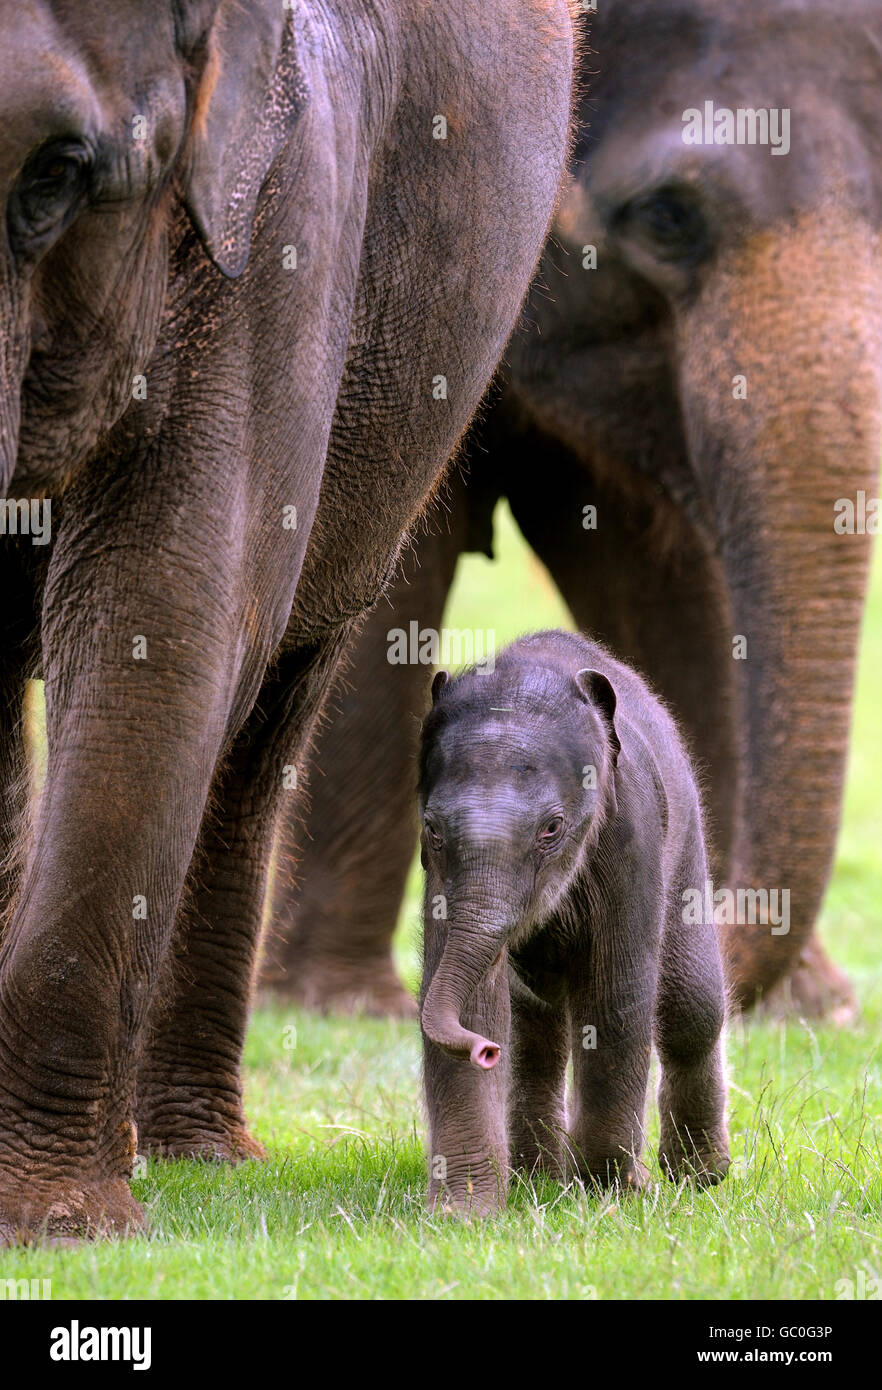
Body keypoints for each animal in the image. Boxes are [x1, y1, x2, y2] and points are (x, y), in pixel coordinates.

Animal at [0, 0, 575, 1242]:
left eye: (58, 173)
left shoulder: (279, 214)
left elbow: (163, 622)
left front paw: (56, 1225)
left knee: (263, 718)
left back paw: (197, 1153)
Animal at [418, 630, 729, 1215]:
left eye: (552, 828)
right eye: (432, 829)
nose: (484, 1051)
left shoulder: (629, 836)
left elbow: (614, 996)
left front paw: (614, 1192)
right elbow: (475, 1002)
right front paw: (464, 1214)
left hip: (688, 849)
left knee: (693, 1006)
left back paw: (701, 1177)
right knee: (536, 1037)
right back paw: (536, 1176)